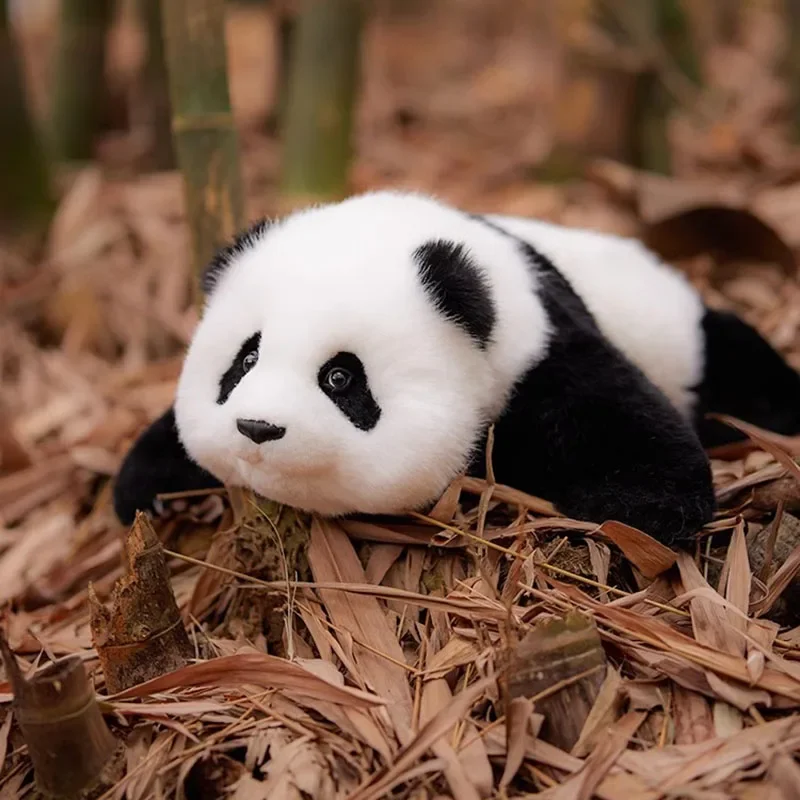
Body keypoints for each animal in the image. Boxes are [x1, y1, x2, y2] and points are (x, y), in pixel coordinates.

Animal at [113, 190, 800, 547]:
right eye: (247, 358)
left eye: (341, 378)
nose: (258, 428)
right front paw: (147, 491)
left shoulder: (536, 340)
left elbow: (615, 415)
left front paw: (639, 508)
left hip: (686, 335)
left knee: (736, 364)